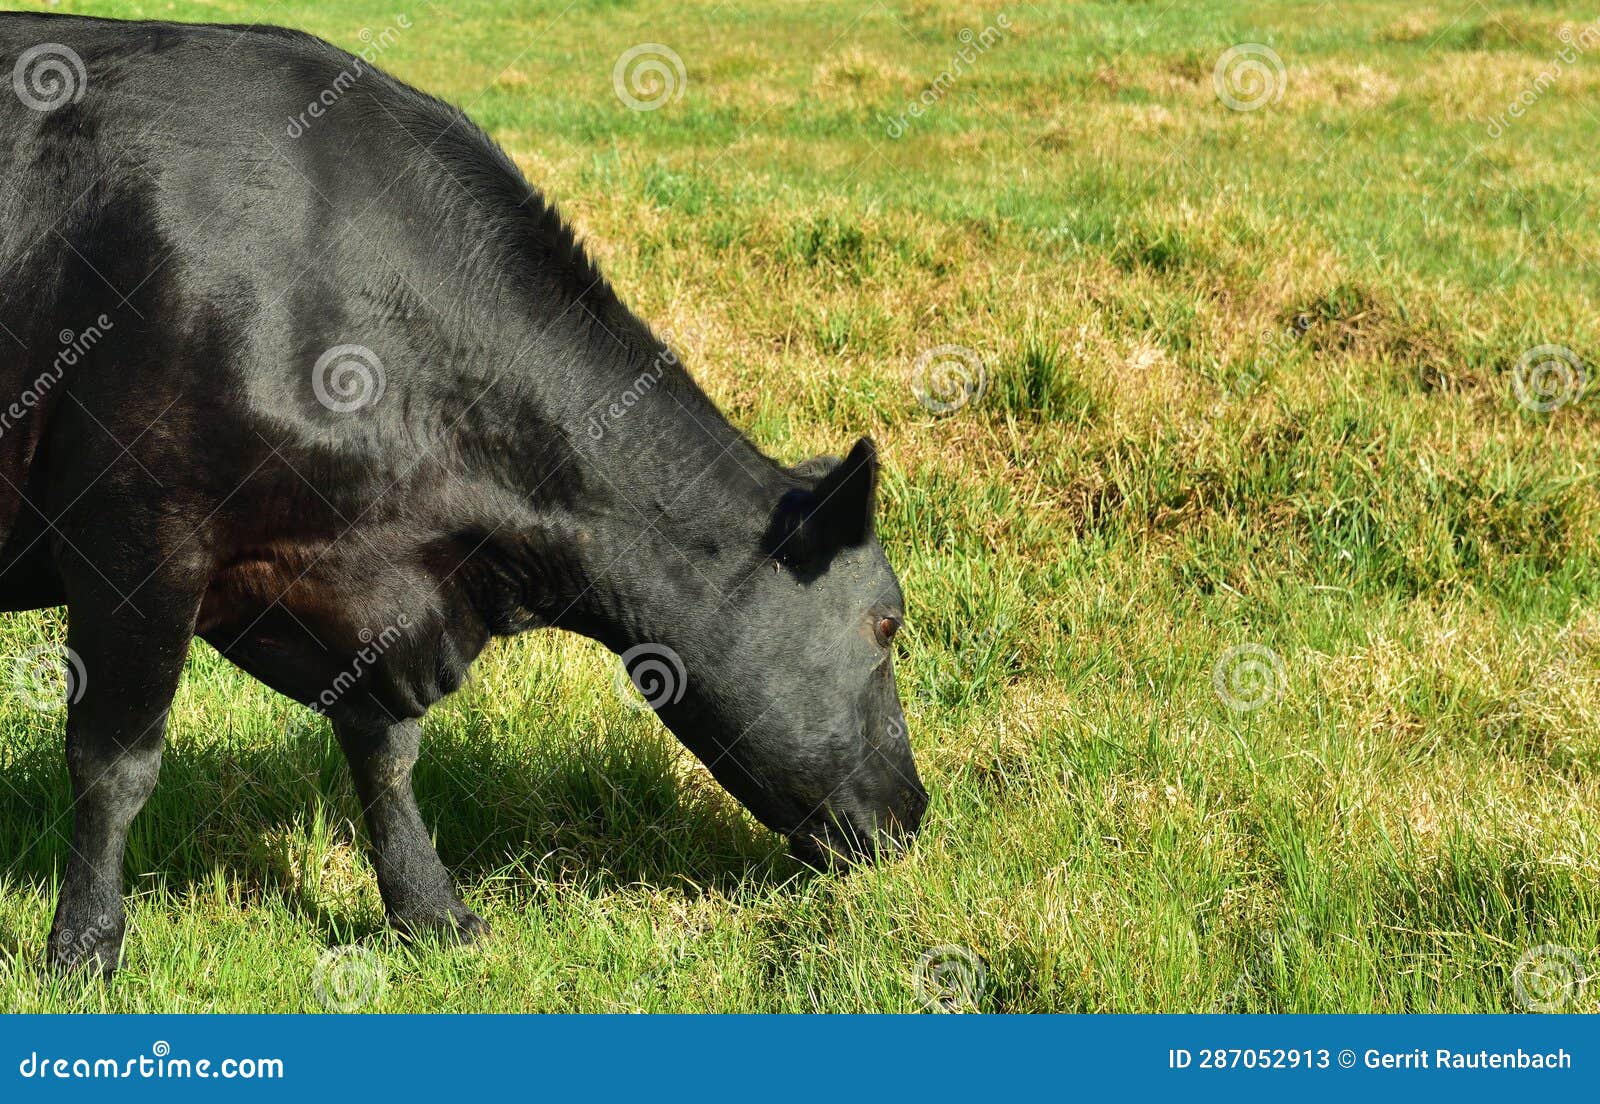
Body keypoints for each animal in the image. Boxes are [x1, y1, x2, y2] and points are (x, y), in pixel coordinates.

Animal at [0, 13, 927, 977]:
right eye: (887, 625)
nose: (915, 813)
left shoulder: (367, 591)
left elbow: (386, 757)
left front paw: (431, 912)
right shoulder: (138, 536)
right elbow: (115, 764)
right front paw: (84, 947)